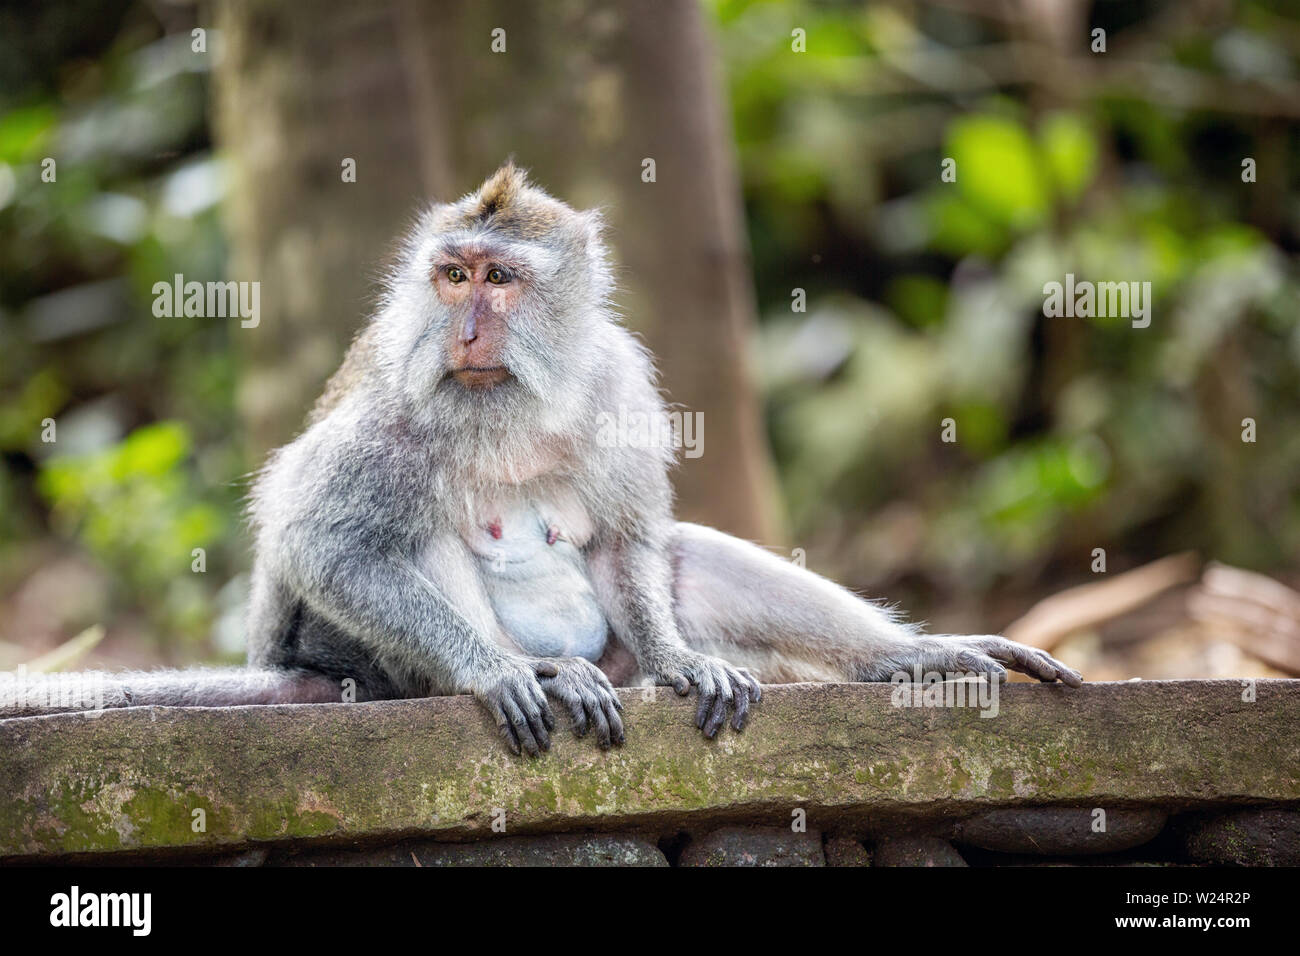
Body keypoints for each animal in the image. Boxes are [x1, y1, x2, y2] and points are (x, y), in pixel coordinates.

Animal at [5, 163, 1081, 753]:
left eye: (500, 278)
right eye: (451, 274)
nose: (467, 327)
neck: (506, 396)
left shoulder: (617, 381)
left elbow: (629, 537)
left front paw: (684, 662)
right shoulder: (393, 412)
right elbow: (321, 542)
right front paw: (494, 671)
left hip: (613, 647)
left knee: (682, 555)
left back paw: (913, 658)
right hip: (358, 660)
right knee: (410, 540)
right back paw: (532, 675)